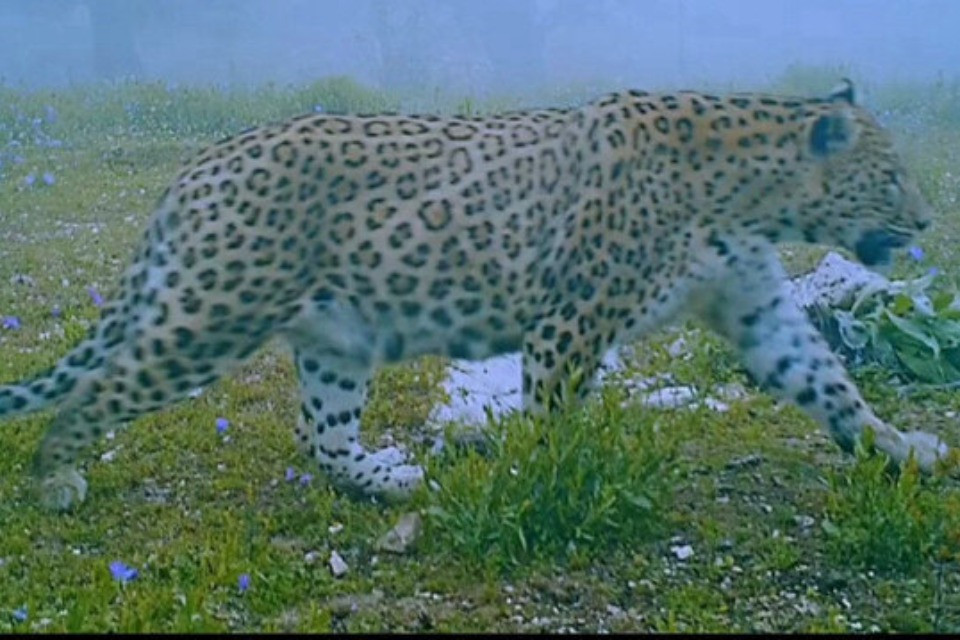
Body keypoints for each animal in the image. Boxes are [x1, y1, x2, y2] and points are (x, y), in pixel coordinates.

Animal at [0, 78, 951, 512]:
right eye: (889, 177)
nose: (927, 219)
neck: (753, 196)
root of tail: (196, 167)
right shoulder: (571, 318)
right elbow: (556, 415)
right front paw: (548, 485)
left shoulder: (754, 306)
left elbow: (829, 383)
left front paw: (898, 448)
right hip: (215, 311)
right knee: (97, 391)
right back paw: (56, 479)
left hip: (335, 336)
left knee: (321, 434)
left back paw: (389, 481)